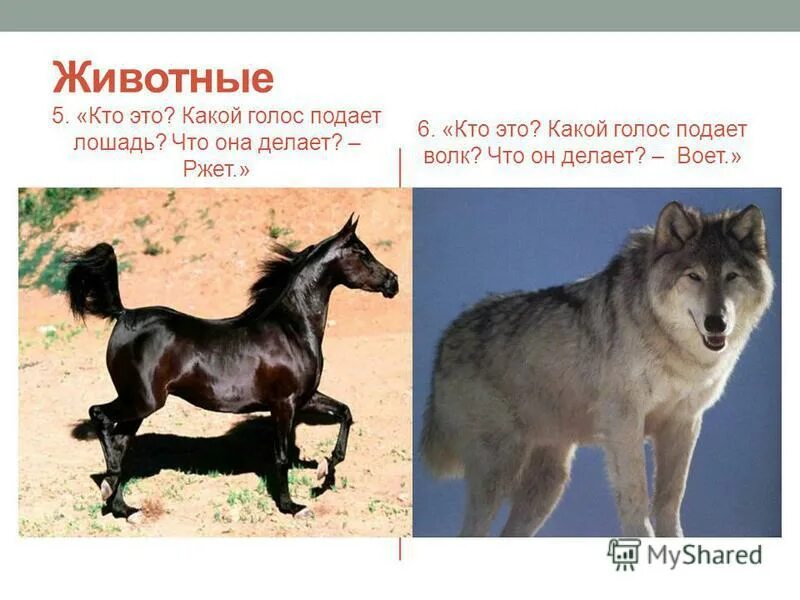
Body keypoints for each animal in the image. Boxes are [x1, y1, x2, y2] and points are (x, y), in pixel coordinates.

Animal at [65, 215, 399, 521]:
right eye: (363, 253)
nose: (393, 282)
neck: (292, 328)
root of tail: (124, 315)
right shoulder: (284, 404)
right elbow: (281, 457)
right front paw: (292, 507)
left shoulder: (305, 397)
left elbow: (345, 413)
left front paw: (324, 473)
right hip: (142, 400)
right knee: (99, 416)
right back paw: (111, 489)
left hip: (139, 406)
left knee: (120, 443)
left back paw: (124, 507)